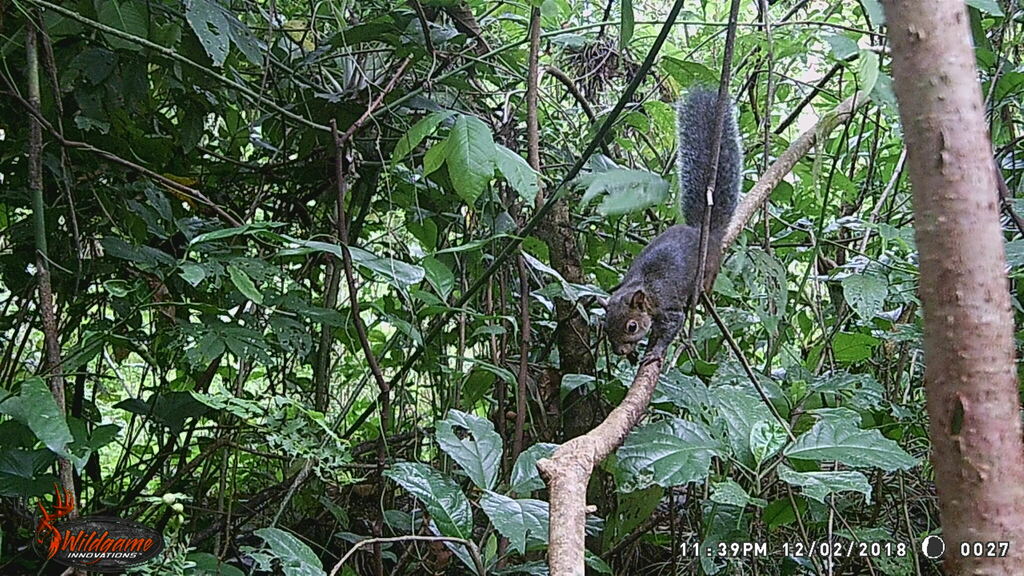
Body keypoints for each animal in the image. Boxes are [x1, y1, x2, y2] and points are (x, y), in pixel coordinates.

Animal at [600, 88, 742, 362]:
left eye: (632, 326)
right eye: (606, 327)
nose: (620, 351)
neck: (643, 288)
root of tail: (703, 231)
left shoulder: (668, 305)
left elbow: (672, 326)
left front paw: (654, 352)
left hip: (709, 265)